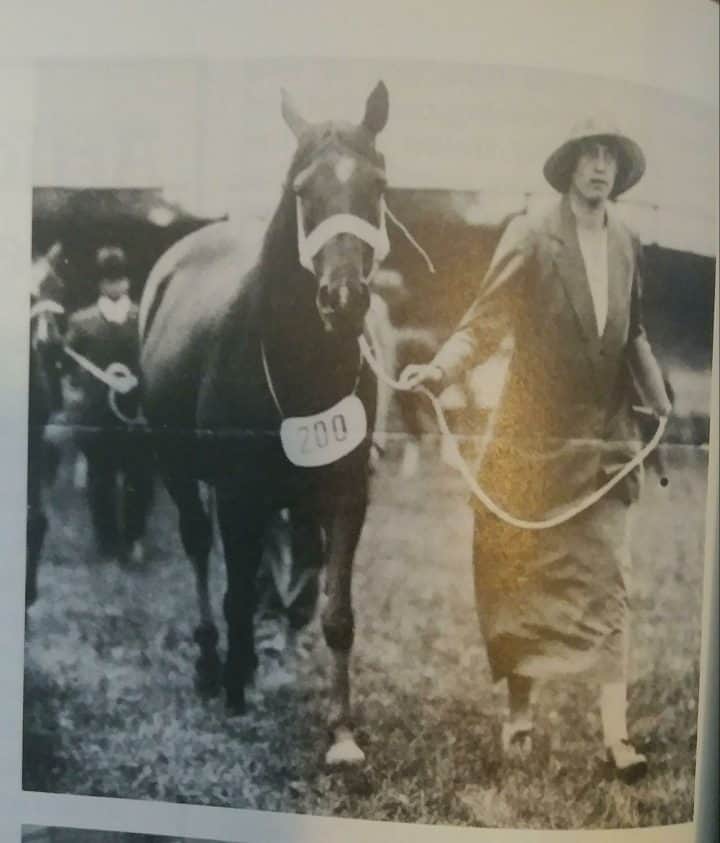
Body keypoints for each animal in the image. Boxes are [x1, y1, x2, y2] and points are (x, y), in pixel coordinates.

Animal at [140, 82, 391, 765]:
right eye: (302, 190)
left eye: (378, 185)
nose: (343, 298)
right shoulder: (235, 493)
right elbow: (234, 588)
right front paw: (233, 685)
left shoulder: (347, 492)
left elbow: (337, 613)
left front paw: (342, 731)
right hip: (175, 467)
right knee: (200, 547)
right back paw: (211, 662)